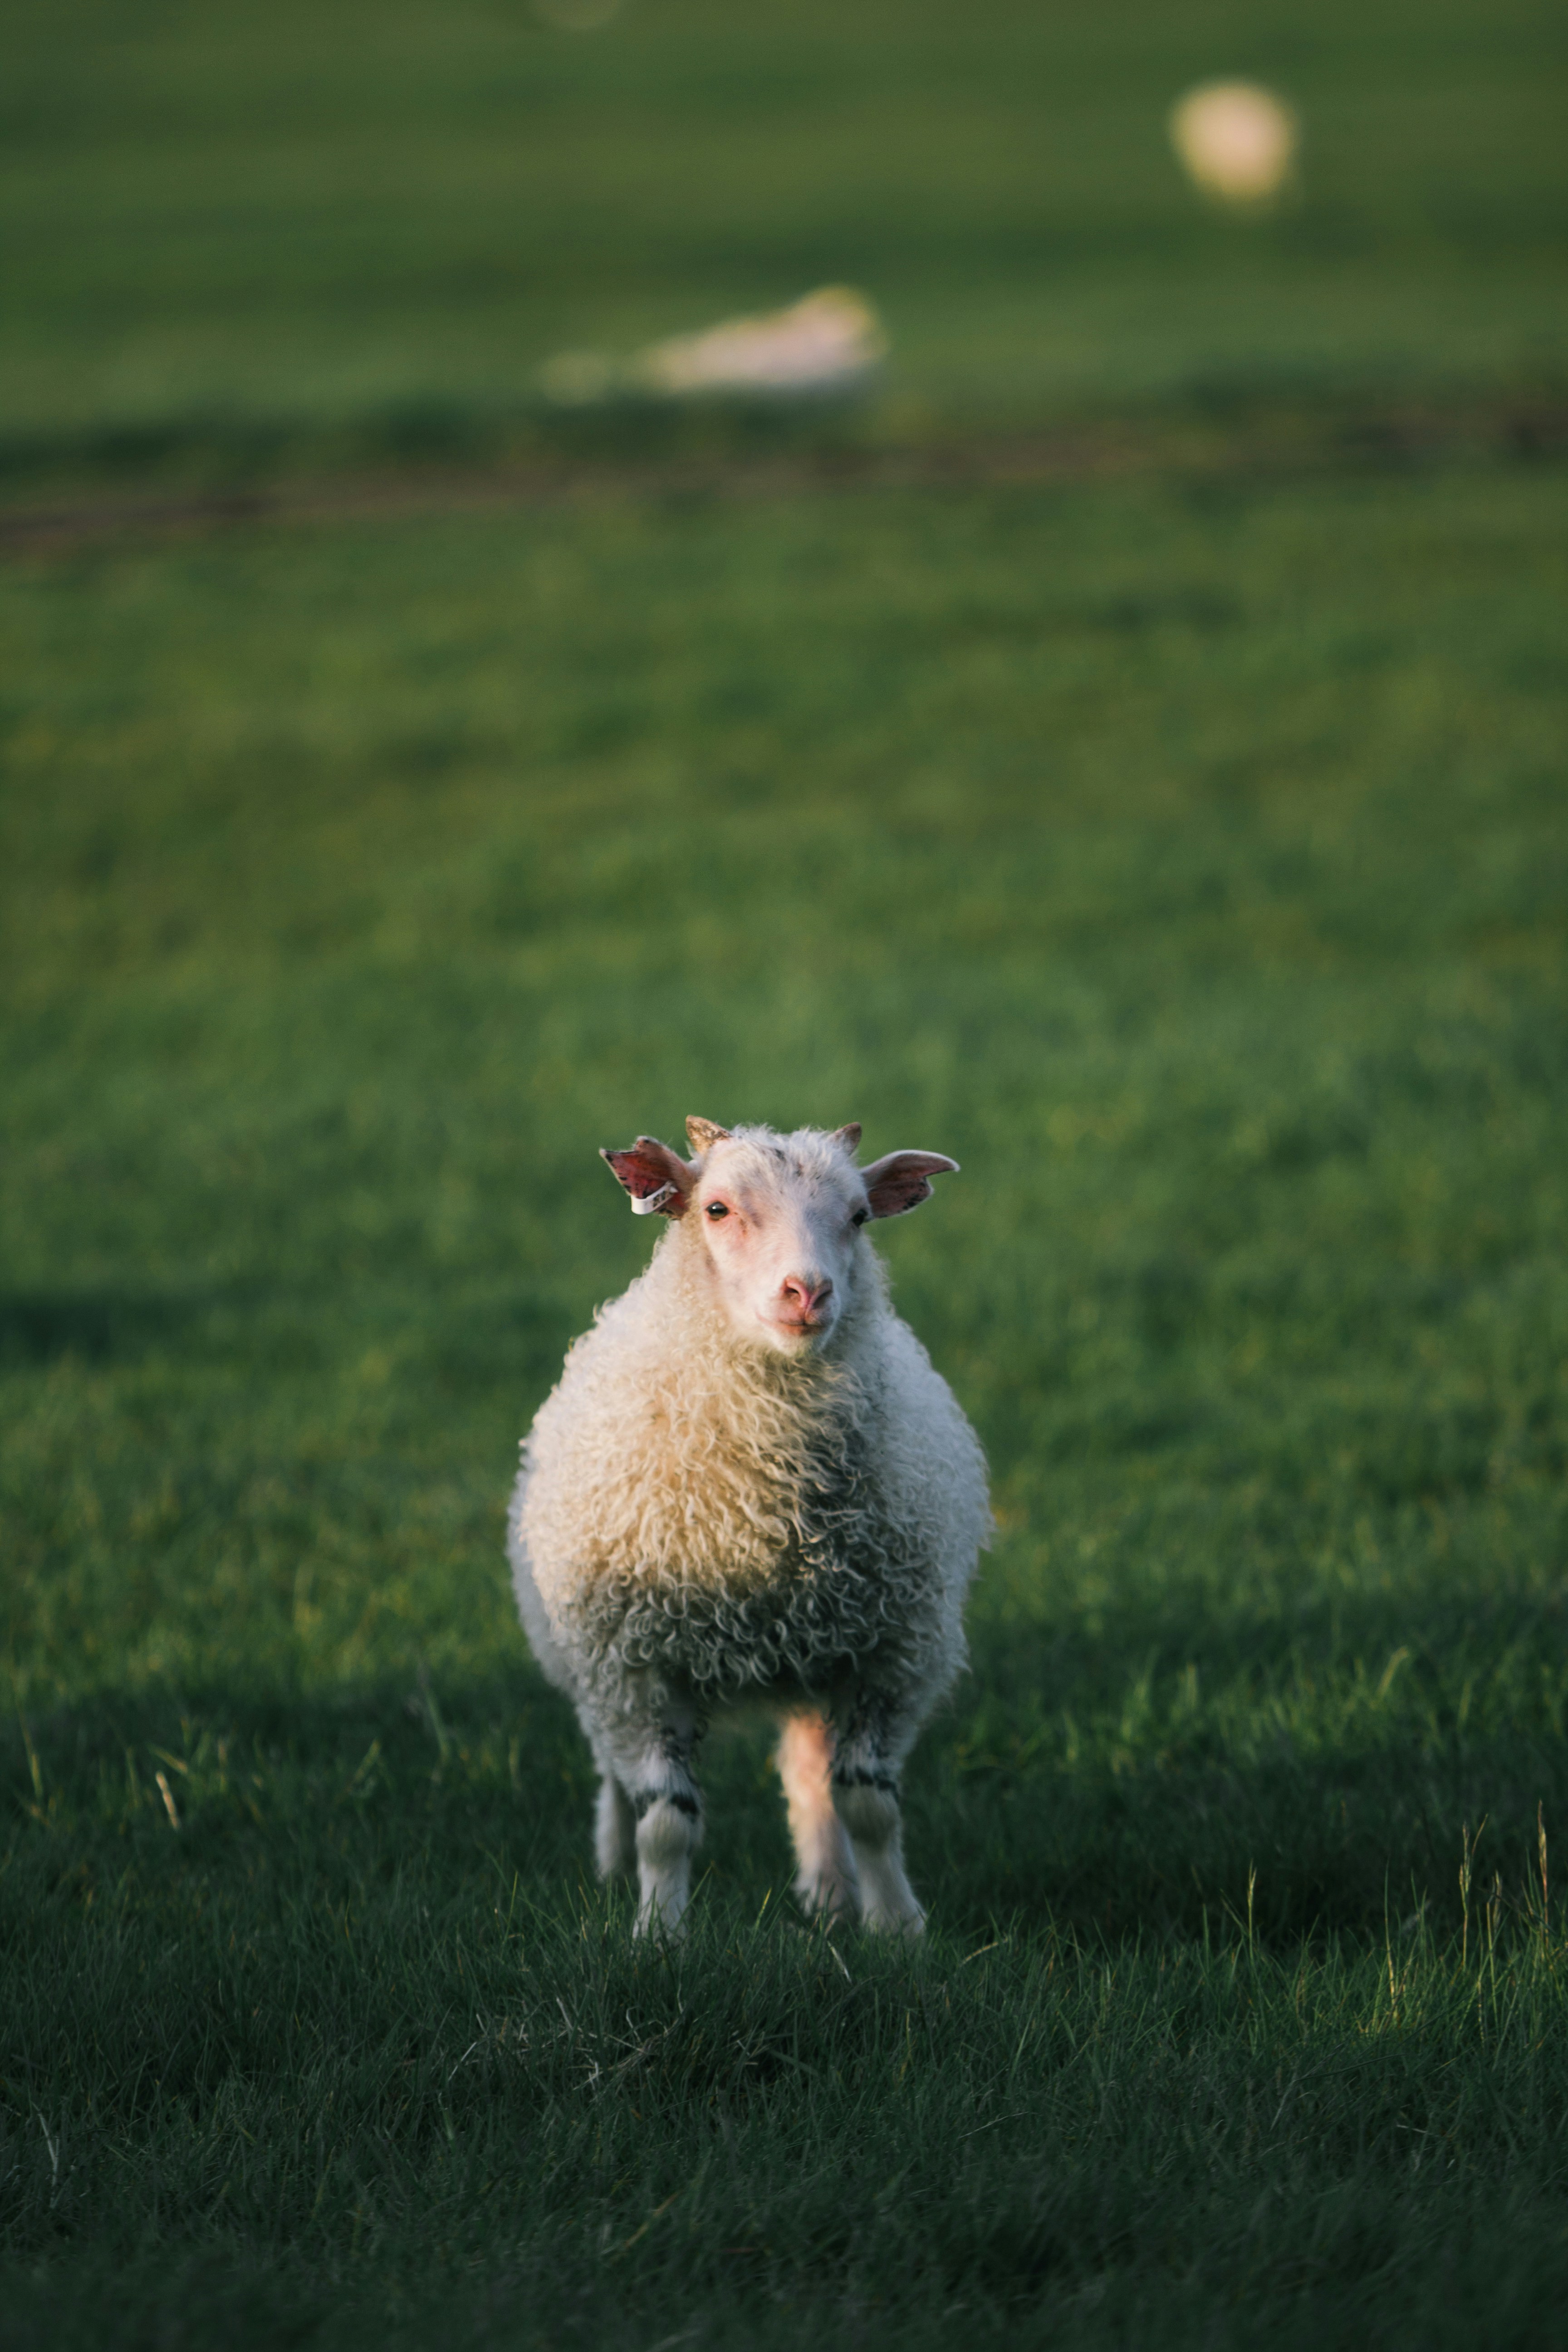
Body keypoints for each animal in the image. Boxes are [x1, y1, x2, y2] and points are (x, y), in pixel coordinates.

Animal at [509, 1116, 990, 1935]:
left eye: (859, 1216)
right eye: (717, 1209)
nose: (808, 1291)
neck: (766, 1526)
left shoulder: (890, 1655)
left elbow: (869, 1807)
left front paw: (897, 1926)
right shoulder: (638, 1665)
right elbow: (666, 1821)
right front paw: (659, 1934)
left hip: (814, 1656)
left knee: (809, 1772)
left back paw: (829, 1891)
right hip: (588, 1662)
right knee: (610, 1769)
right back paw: (611, 1863)